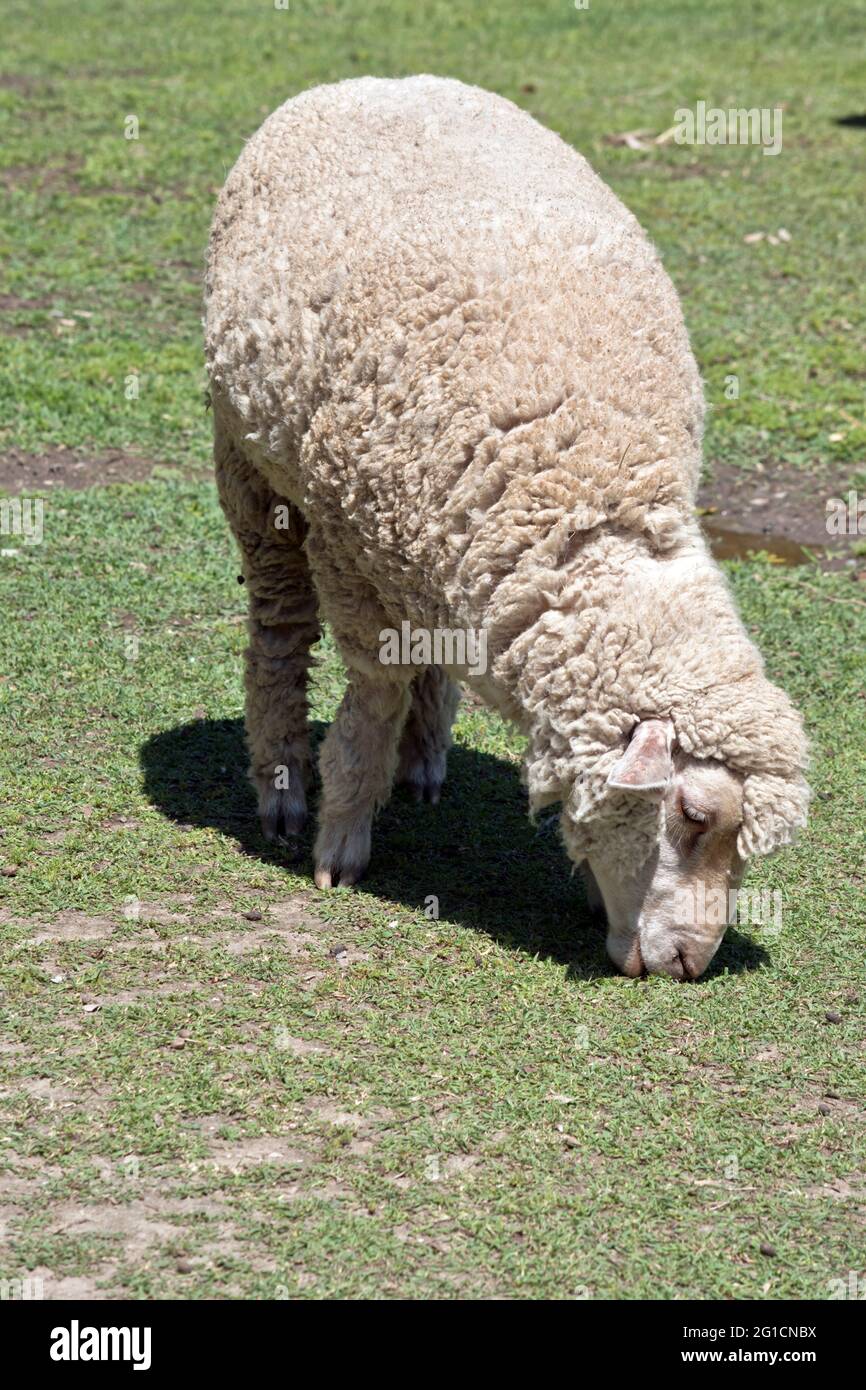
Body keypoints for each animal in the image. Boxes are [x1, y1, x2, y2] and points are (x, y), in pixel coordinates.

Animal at [204, 75, 809, 980]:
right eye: (695, 815)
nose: (688, 963)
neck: (583, 503)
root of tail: (378, 79)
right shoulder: (350, 553)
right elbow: (372, 696)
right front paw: (342, 835)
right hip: (252, 469)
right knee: (278, 629)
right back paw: (283, 786)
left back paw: (424, 760)